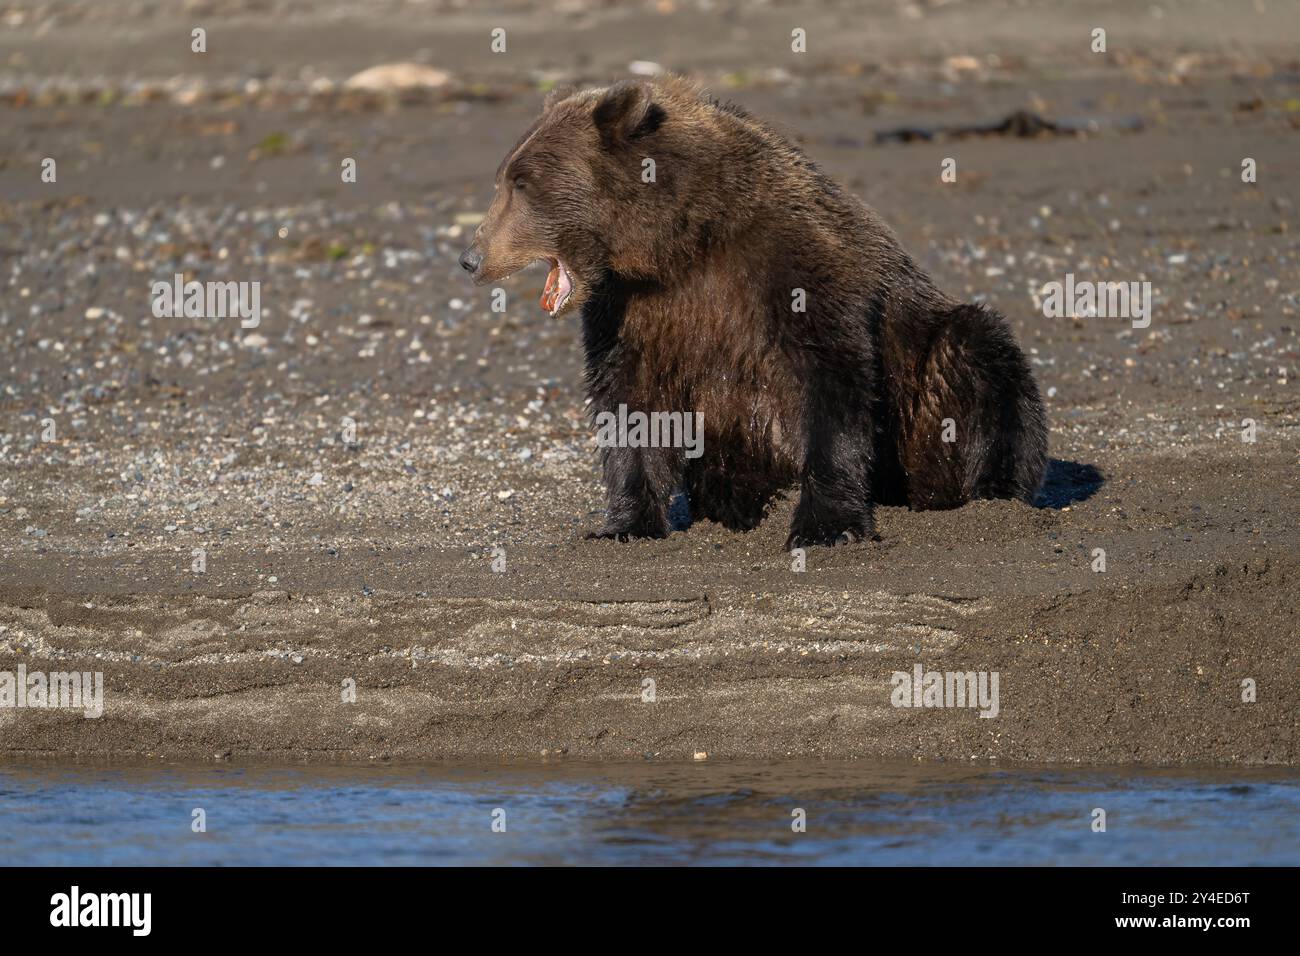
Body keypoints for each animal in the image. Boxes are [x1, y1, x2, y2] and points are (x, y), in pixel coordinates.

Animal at [459, 76, 1048, 549]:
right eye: (505, 178)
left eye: (521, 183)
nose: (471, 257)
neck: (680, 245)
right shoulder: (632, 311)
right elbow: (630, 402)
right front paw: (623, 523)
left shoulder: (790, 268)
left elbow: (831, 380)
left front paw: (825, 526)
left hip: (922, 380)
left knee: (975, 352)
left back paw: (991, 490)